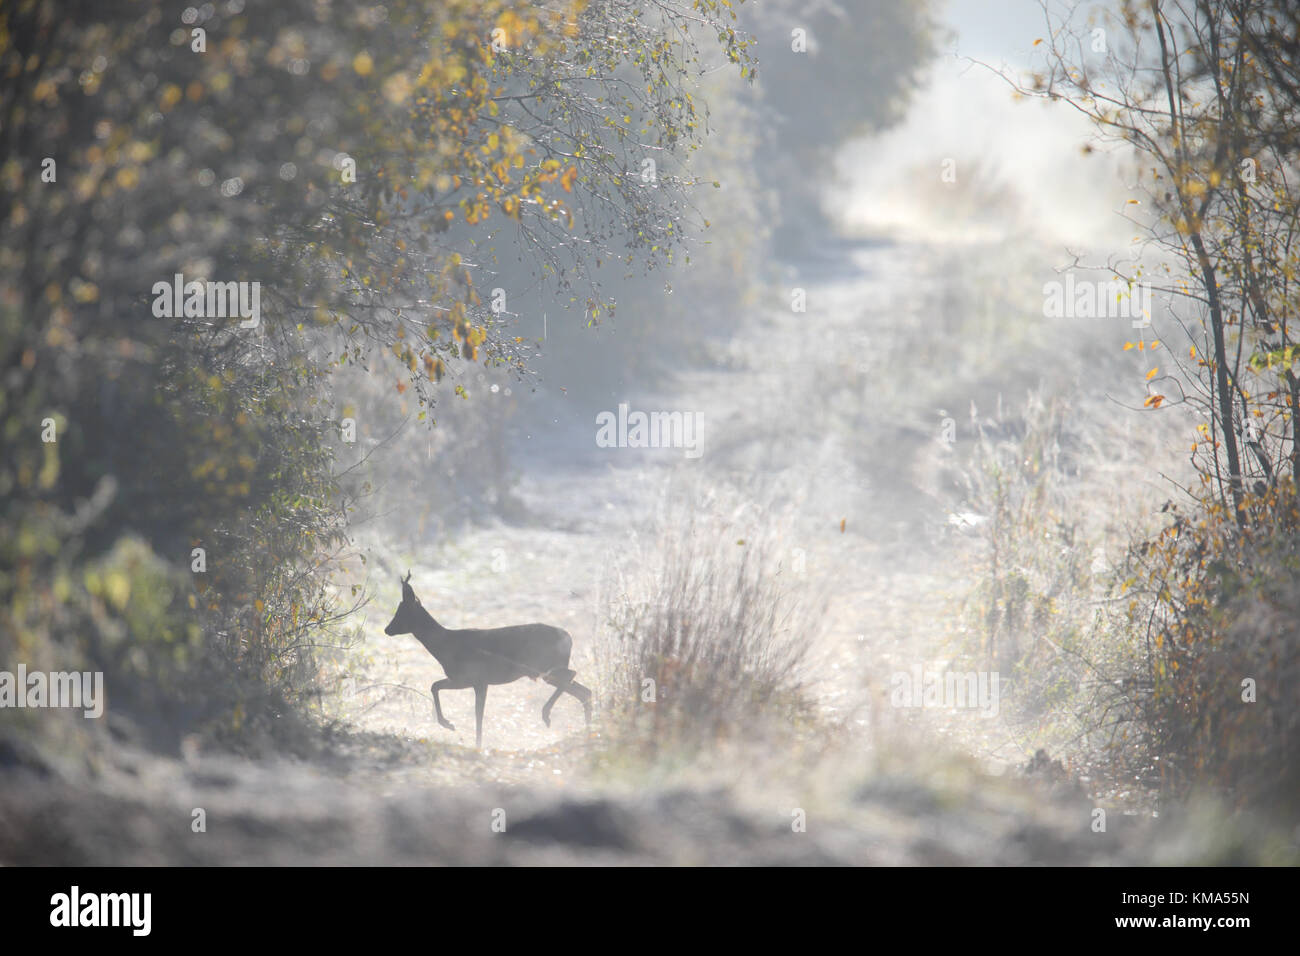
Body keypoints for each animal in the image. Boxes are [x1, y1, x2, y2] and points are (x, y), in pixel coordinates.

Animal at [382, 571, 592, 750]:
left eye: (402, 612)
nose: (387, 629)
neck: (446, 647)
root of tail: (569, 638)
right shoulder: (468, 680)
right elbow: (437, 687)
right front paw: (451, 726)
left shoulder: (476, 678)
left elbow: (476, 713)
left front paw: (462, 733)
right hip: (547, 669)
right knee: (584, 691)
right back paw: (587, 730)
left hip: (546, 665)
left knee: (572, 676)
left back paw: (547, 714)